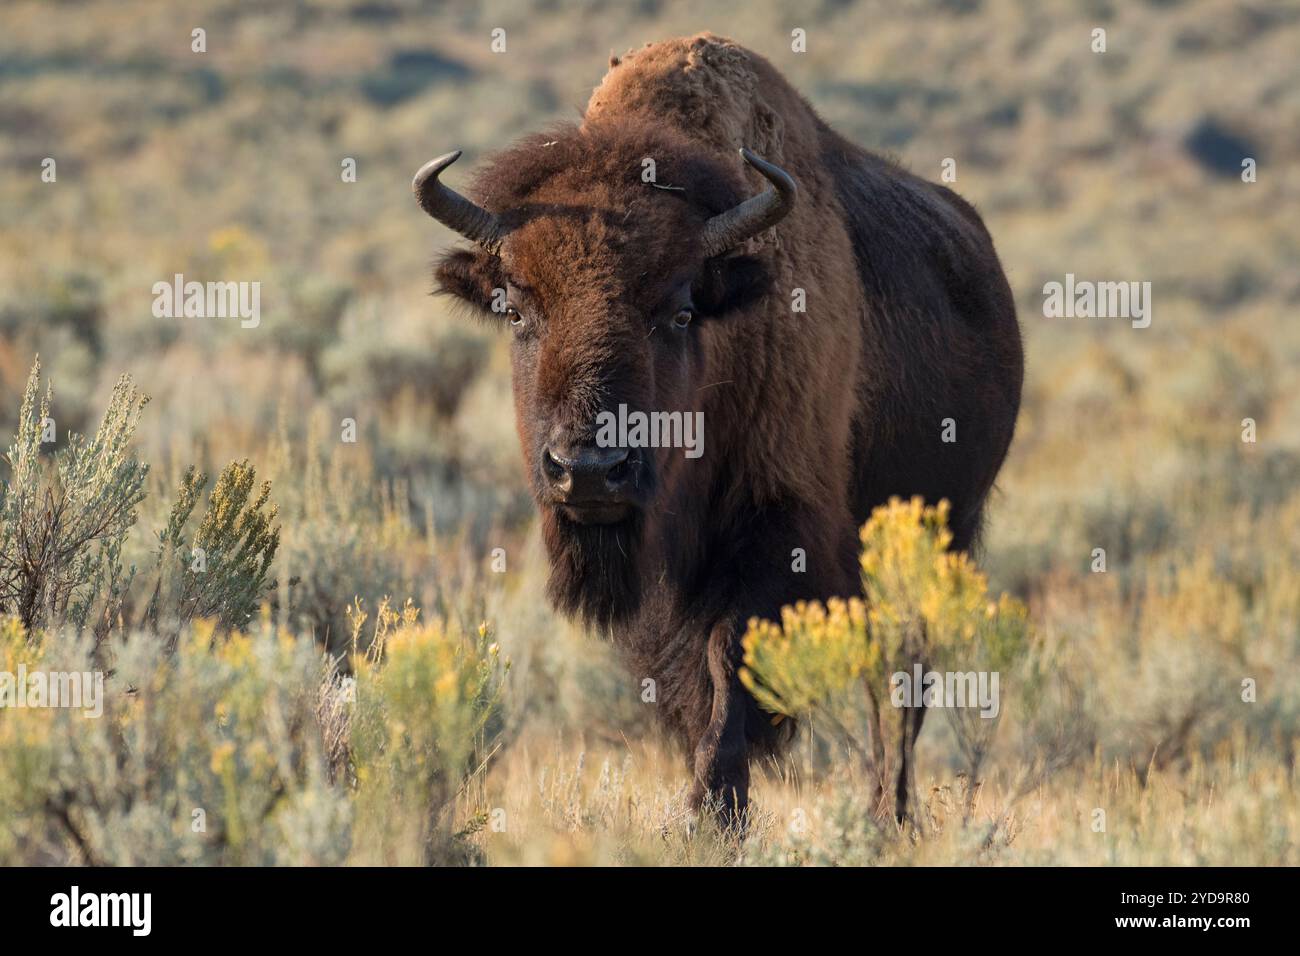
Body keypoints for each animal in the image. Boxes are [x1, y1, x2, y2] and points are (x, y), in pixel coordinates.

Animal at [415, 34, 1023, 822]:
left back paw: (887, 816)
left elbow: (730, 663)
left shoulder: (778, 530)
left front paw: (713, 811)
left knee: (900, 685)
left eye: (679, 311)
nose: (589, 471)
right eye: (515, 309)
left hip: (935, 536)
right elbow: (689, 686)